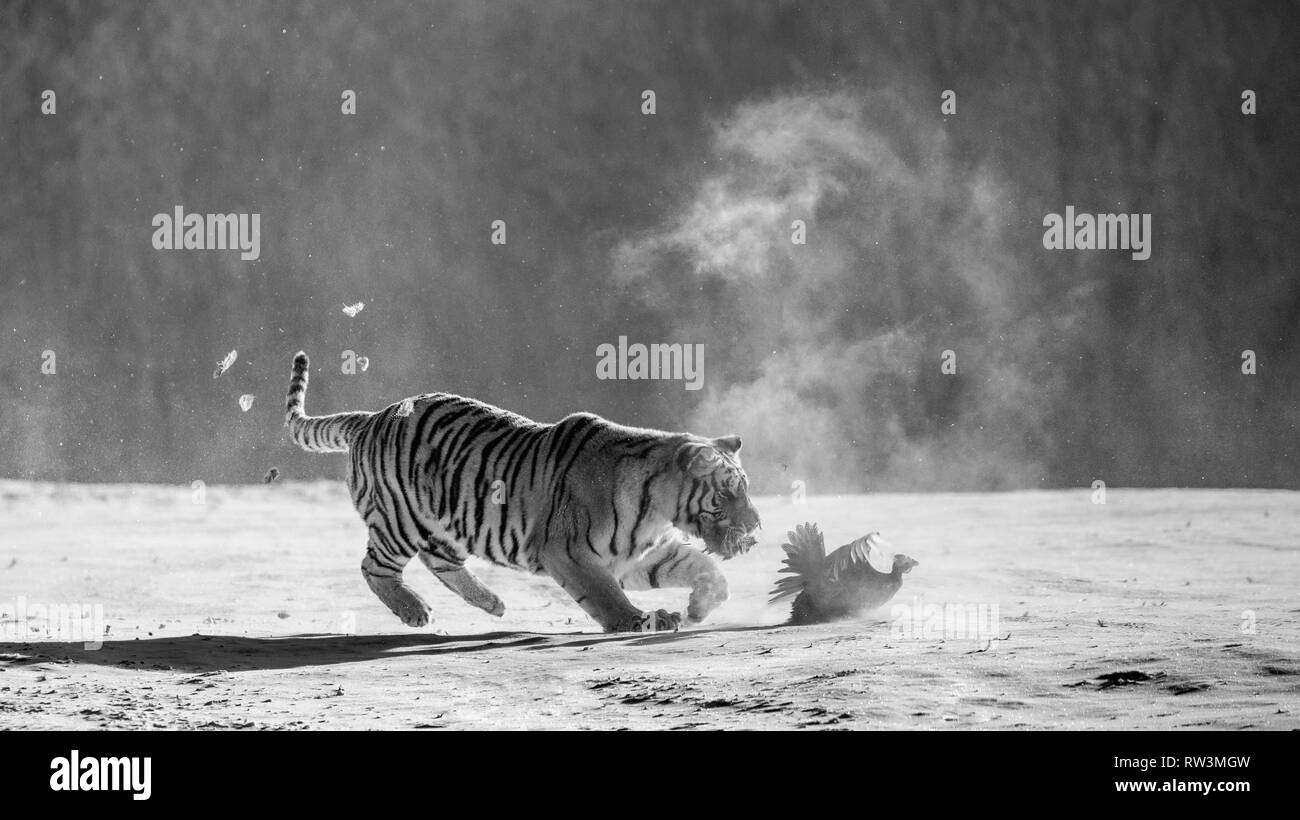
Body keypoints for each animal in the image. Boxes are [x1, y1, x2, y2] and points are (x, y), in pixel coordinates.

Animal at [284, 352, 762, 633]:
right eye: (727, 494)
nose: (757, 528)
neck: (657, 508)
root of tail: (371, 417)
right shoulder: (569, 551)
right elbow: (604, 594)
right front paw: (634, 621)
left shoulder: (639, 554)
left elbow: (707, 570)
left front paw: (696, 610)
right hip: (402, 519)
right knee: (375, 567)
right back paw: (414, 610)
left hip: (447, 519)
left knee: (441, 560)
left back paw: (493, 603)